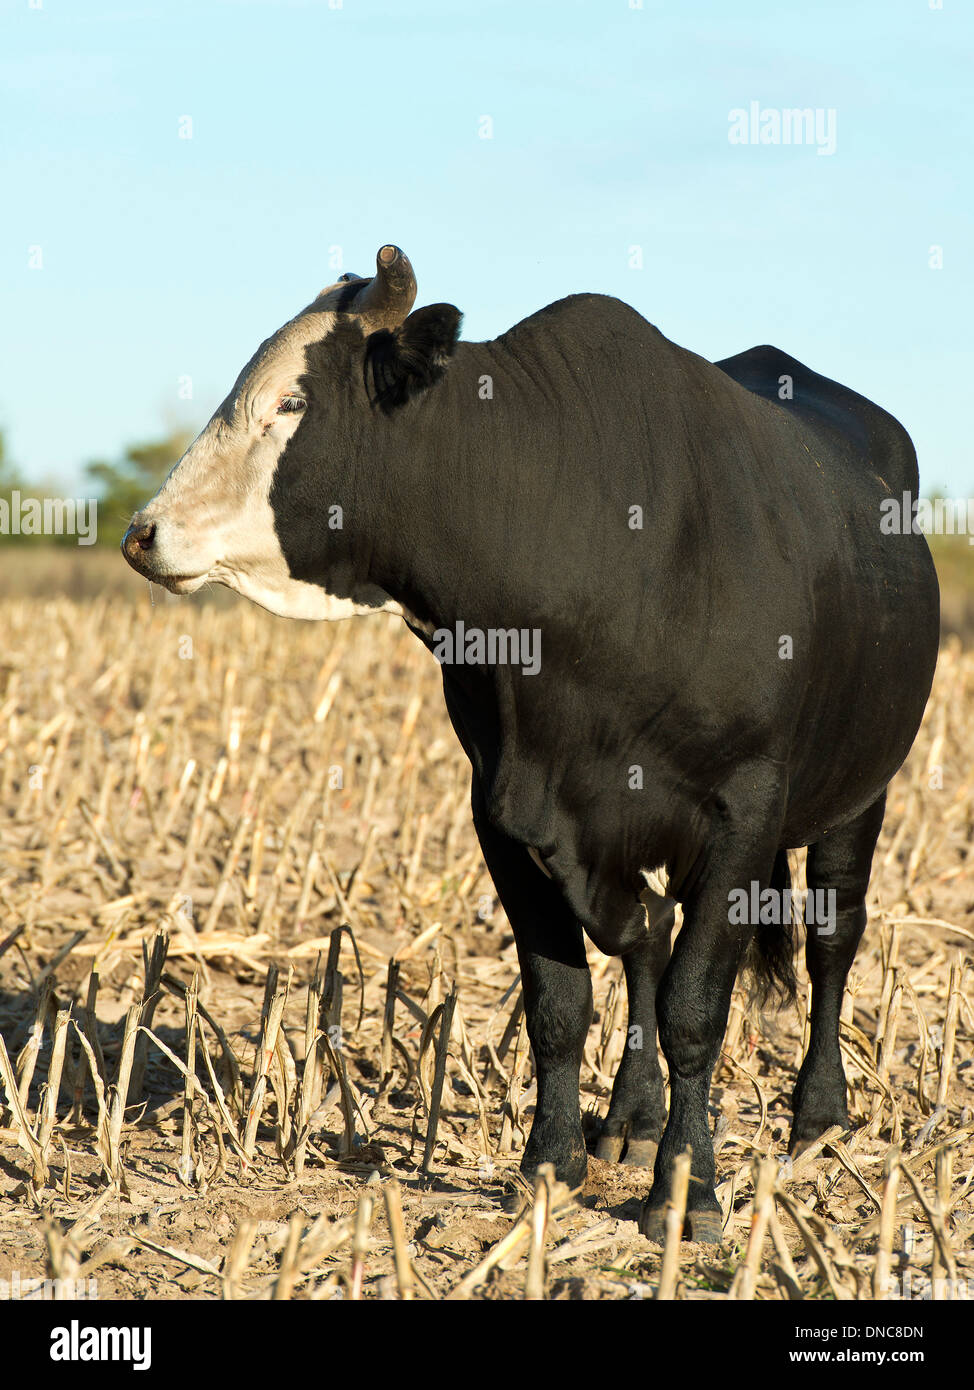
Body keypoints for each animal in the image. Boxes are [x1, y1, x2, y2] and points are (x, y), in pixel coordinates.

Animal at [122, 245, 940, 1243]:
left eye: (291, 401)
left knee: (829, 940)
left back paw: (819, 1118)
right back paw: (629, 1117)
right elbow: (561, 1001)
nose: (143, 533)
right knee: (647, 937)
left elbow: (696, 1008)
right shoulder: (509, 810)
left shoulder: (742, 812)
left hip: (860, 797)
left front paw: (688, 1190)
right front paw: (552, 1163)